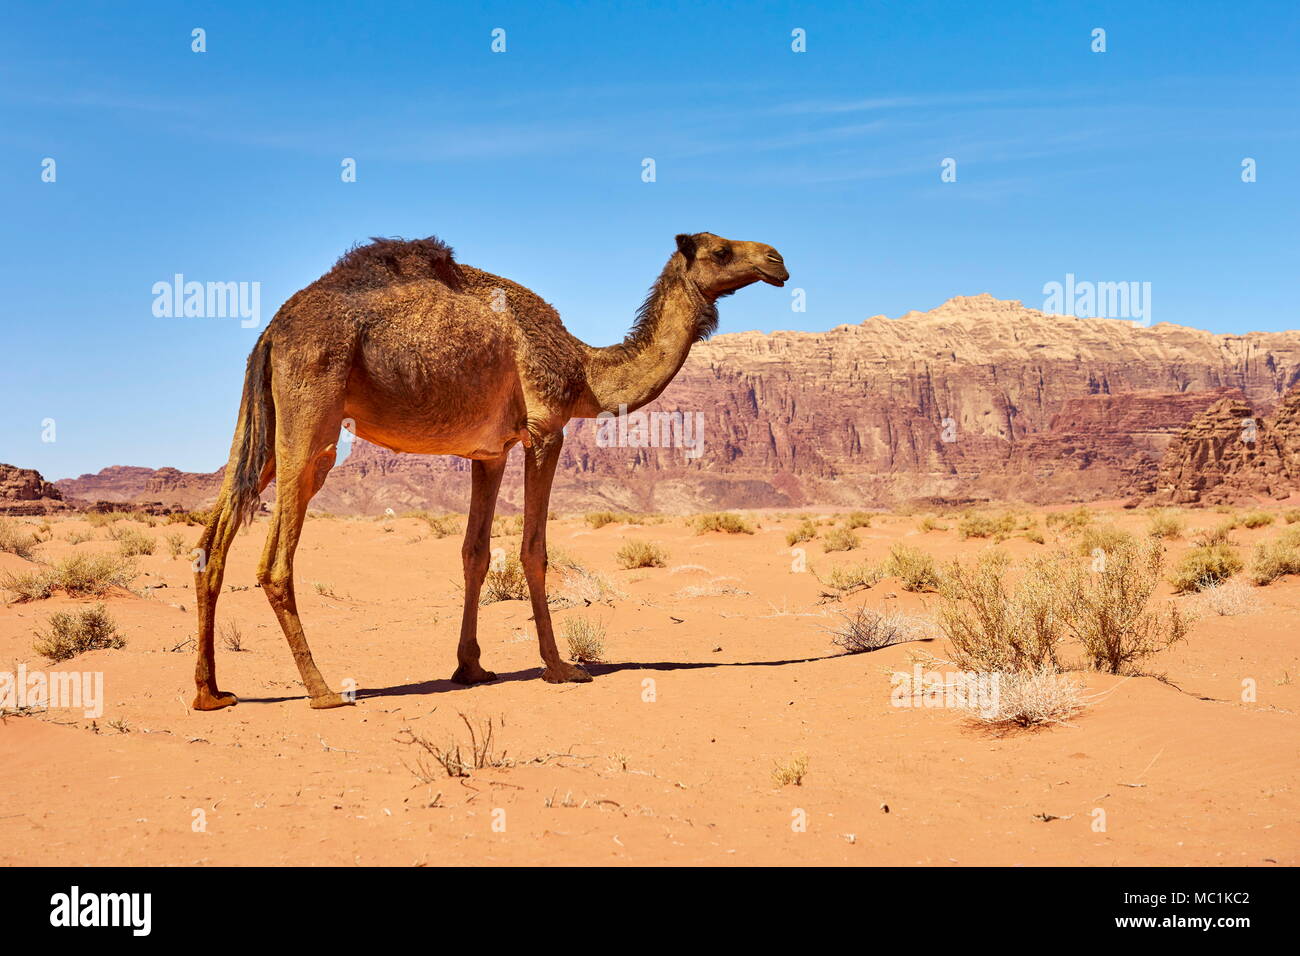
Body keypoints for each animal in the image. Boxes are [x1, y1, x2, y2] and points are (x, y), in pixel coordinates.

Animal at [191, 231, 788, 710]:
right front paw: (560, 667)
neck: (584, 370)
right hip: (312, 415)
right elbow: (534, 550)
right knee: (274, 561)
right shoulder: (546, 429)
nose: (778, 260)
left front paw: (471, 667)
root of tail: (271, 331)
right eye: (720, 250)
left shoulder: (490, 452)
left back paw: (210, 692)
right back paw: (321, 690)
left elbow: (474, 553)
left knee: (212, 540)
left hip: (263, 430)